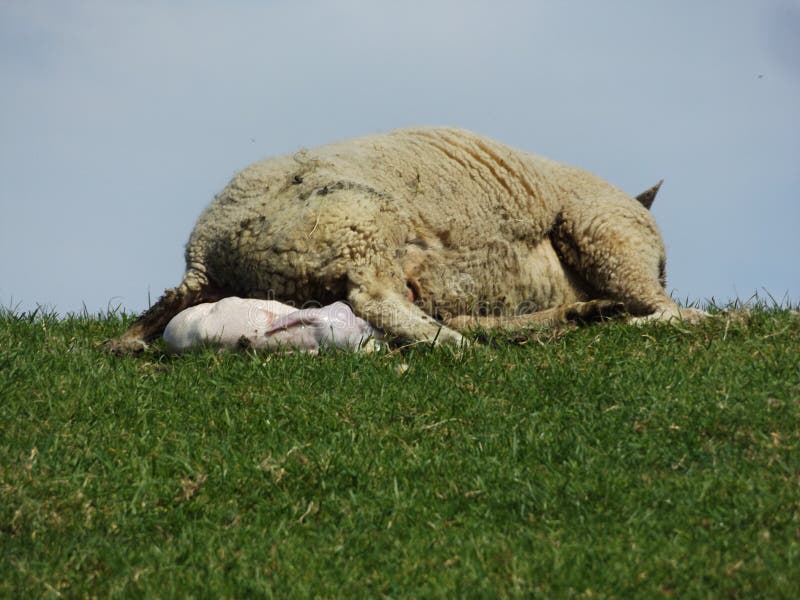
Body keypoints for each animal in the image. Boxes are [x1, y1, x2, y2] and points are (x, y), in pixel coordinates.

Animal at [105, 127, 706, 354]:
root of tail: (205, 260)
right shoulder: (600, 223)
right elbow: (665, 307)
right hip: (357, 223)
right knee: (380, 301)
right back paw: (462, 347)